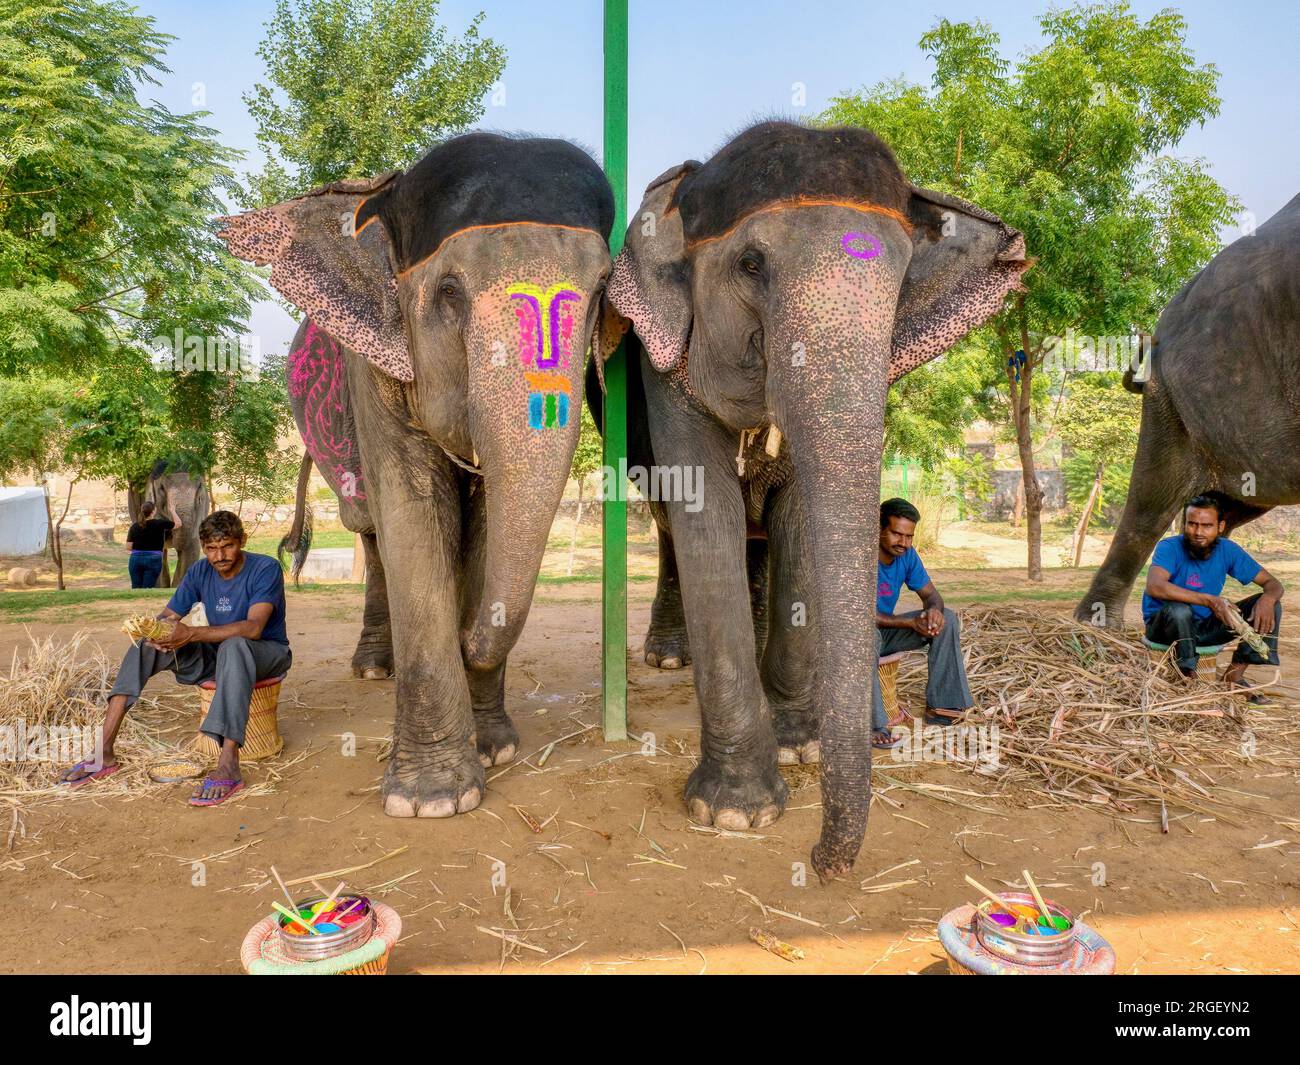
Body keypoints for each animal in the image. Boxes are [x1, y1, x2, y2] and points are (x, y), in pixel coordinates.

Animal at [219, 132, 619, 817]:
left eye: (600, 292)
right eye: (450, 292)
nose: (466, 643)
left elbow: (483, 524)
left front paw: (493, 750)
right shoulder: (373, 363)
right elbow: (412, 508)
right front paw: (431, 800)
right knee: (372, 531)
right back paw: (375, 670)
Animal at [607, 121, 1029, 880]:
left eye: (901, 285)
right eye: (750, 264)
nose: (823, 862)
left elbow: (798, 519)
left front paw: (797, 747)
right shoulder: (667, 374)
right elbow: (704, 511)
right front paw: (735, 811)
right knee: (670, 526)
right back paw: (668, 657)